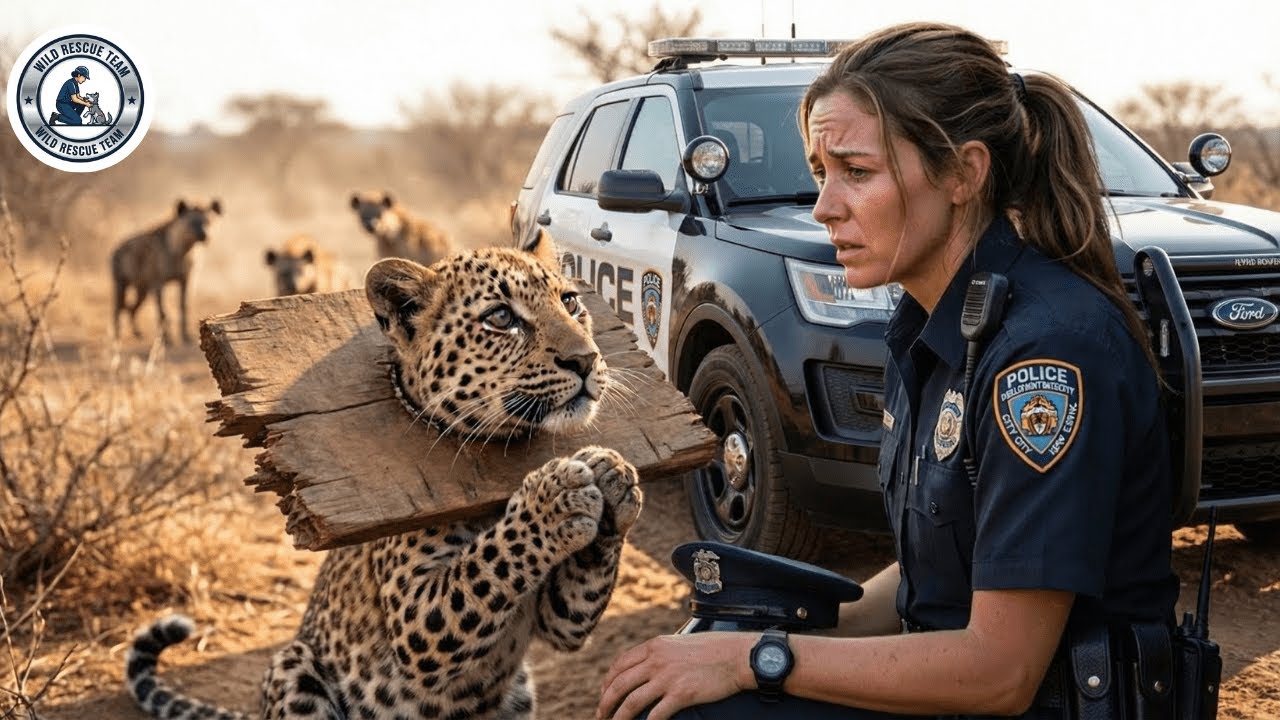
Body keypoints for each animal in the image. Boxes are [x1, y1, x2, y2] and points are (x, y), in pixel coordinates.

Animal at [110, 198, 222, 345]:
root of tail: (115, 249)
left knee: (131, 308)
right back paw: (117, 338)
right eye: (191, 223)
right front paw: (168, 340)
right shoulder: (158, 282)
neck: (181, 251)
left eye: (208, 222)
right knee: (118, 308)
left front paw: (186, 337)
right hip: (121, 282)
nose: (204, 236)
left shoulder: (185, 279)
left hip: (143, 289)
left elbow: (183, 306)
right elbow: (162, 311)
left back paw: (137, 333)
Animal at [123, 229, 642, 720]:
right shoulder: (416, 616)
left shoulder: (558, 617)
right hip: (294, 666)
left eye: (571, 302)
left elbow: (568, 610)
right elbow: (490, 557)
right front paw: (554, 497)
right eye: (500, 319)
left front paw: (612, 477)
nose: (585, 359)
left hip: (520, 690)